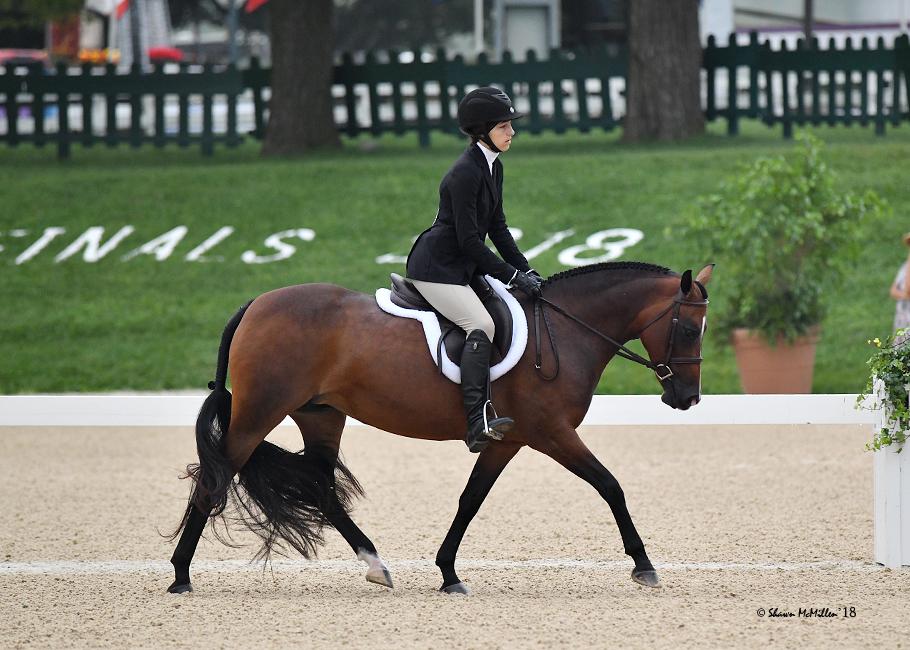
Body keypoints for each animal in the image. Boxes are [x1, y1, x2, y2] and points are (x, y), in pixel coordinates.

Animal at [167, 261, 712, 594]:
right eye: (688, 328)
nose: (686, 398)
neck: (565, 330)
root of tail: (256, 303)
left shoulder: (507, 439)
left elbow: (470, 500)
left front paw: (448, 572)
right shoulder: (552, 434)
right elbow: (610, 485)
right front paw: (644, 565)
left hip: (319, 415)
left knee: (319, 486)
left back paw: (376, 564)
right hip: (260, 412)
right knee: (215, 478)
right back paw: (180, 575)